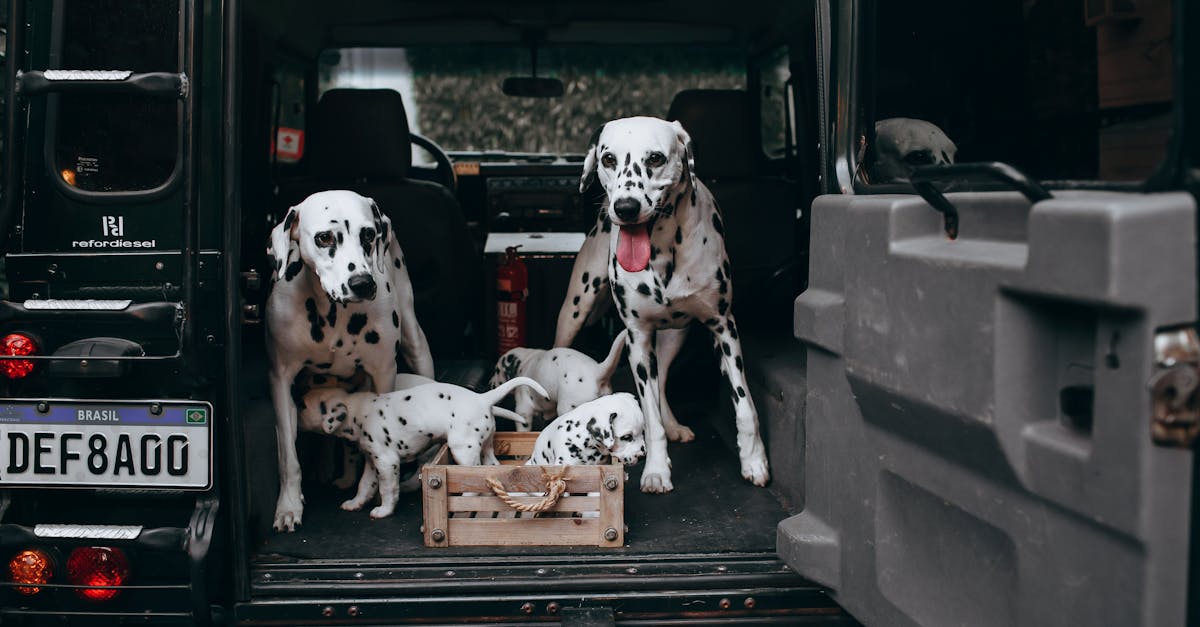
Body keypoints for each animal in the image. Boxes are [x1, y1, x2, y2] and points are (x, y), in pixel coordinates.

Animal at [267, 187, 436, 528]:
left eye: (368, 234)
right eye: (324, 238)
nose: (362, 283)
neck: (331, 314)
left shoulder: (383, 374)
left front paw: (371, 490)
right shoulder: (281, 380)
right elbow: (288, 457)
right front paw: (288, 506)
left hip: (416, 343)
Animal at [297, 374, 547, 516]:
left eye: (302, 405)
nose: (294, 418)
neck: (358, 412)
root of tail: (482, 398)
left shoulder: (387, 461)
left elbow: (388, 488)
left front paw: (384, 510)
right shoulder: (371, 460)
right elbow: (364, 485)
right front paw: (355, 503)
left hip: (462, 448)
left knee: (473, 474)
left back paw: (466, 497)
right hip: (484, 444)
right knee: (490, 465)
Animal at [489, 326, 628, 430]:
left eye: (496, 371)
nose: (489, 385)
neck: (524, 362)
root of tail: (597, 370)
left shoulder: (523, 410)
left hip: (567, 408)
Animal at [554, 114, 768, 490]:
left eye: (655, 158)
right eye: (608, 159)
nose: (625, 208)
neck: (663, 248)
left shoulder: (724, 328)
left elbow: (745, 406)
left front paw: (754, 461)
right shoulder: (638, 340)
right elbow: (649, 416)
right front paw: (656, 470)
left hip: (673, 337)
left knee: (663, 381)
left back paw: (673, 425)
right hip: (575, 311)